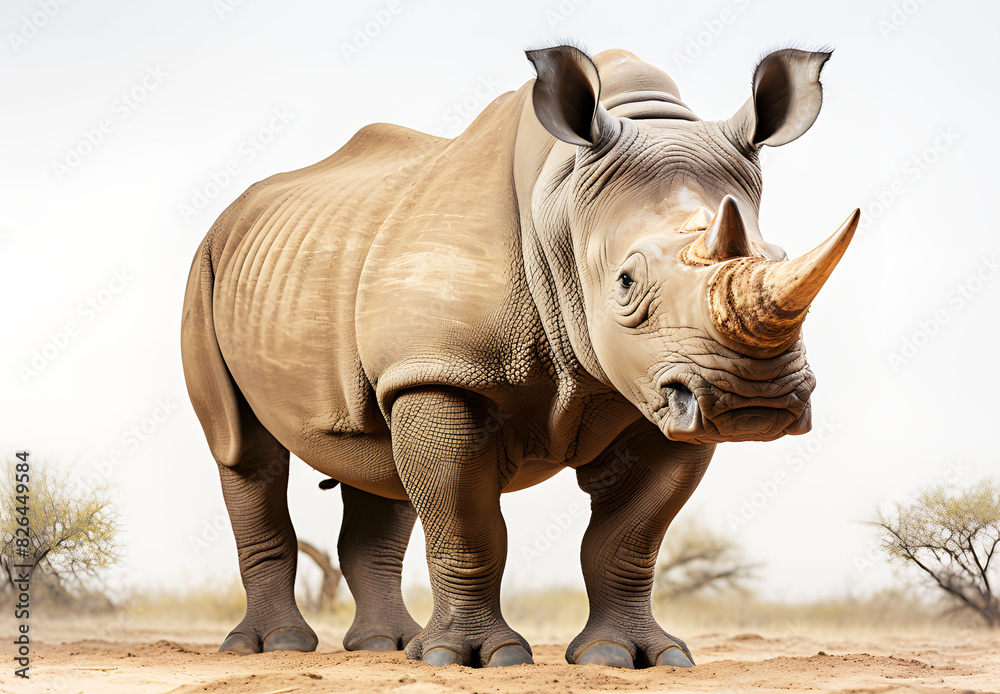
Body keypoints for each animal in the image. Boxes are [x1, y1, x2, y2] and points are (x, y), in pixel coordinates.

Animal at [181, 44, 858, 669]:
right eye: (626, 283)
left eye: (781, 256)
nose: (754, 400)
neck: (563, 201)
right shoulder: (444, 372)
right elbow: (469, 527)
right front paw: (471, 658)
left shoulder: (661, 389)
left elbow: (630, 538)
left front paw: (637, 656)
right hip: (205, 267)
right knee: (243, 450)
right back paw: (274, 648)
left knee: (375, 458)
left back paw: (386, 647)